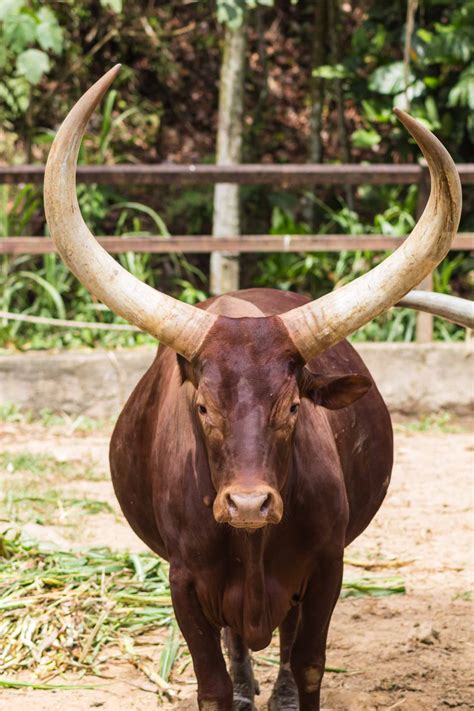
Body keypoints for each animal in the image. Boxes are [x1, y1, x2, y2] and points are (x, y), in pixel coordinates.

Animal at [44, 66, 471, 711]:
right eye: (201, 406)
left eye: (292, 406)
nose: (248, 505)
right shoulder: (183, 581)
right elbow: (212, 682)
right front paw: (236, 689)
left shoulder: (327, 568)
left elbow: (311, 661)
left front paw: (293, 691)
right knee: (236, 643)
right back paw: (250, 686)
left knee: (288, 639)